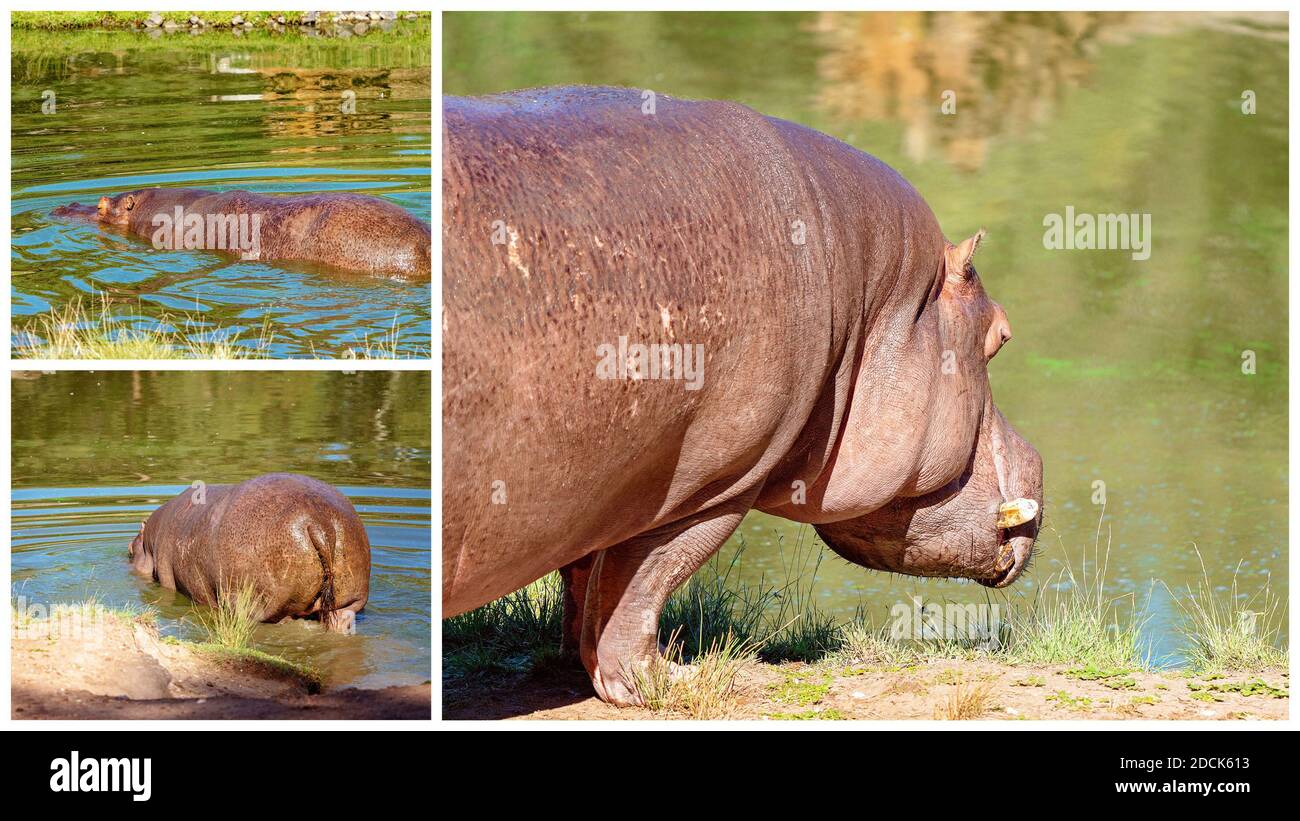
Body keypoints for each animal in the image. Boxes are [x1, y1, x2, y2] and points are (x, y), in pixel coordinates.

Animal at [129, 473, 371, 633]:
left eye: (130, 551)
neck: (149, 542)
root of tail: (319, 520)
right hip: (350, 597)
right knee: (341, 618)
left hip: (262, 601)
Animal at [442, 86, 1043, 705]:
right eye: (1002, 335)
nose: (1038, 462)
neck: (867, 302)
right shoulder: (714, 482)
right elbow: (648, 575)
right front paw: (666, 679)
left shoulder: (601, 488)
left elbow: (587, 573)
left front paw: (568, 664)